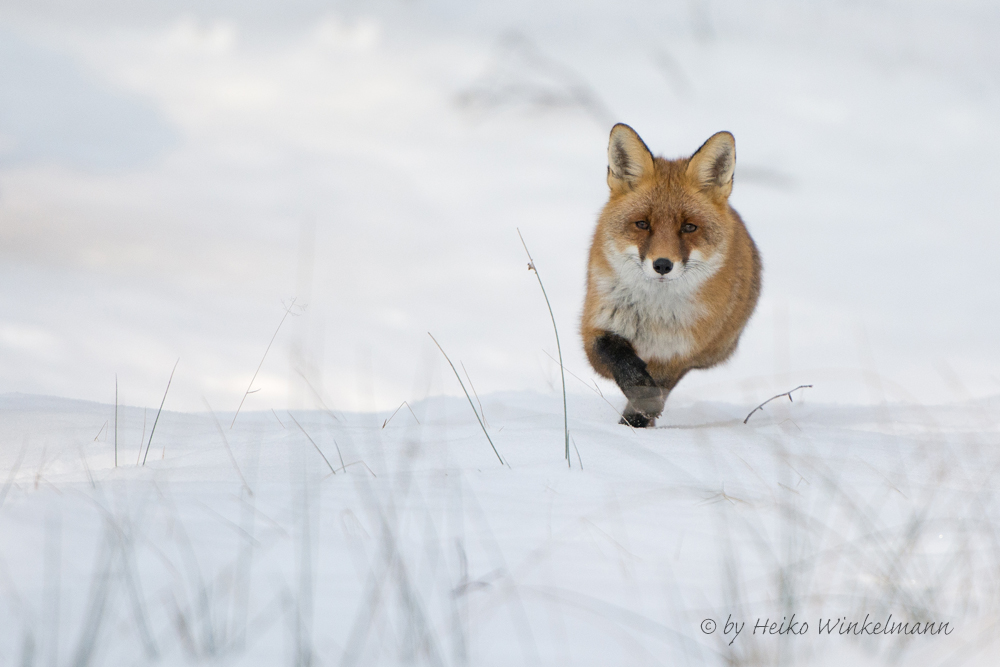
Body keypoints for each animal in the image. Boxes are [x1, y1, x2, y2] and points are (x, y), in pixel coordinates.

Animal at [581, 124, 762, 428]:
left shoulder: (679, 354)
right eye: (642, 224)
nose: (663, 265)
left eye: (688, 227)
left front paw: (638, 420)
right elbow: (621, 361)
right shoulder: (596, 327)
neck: (654, 315)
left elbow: (658, 387)